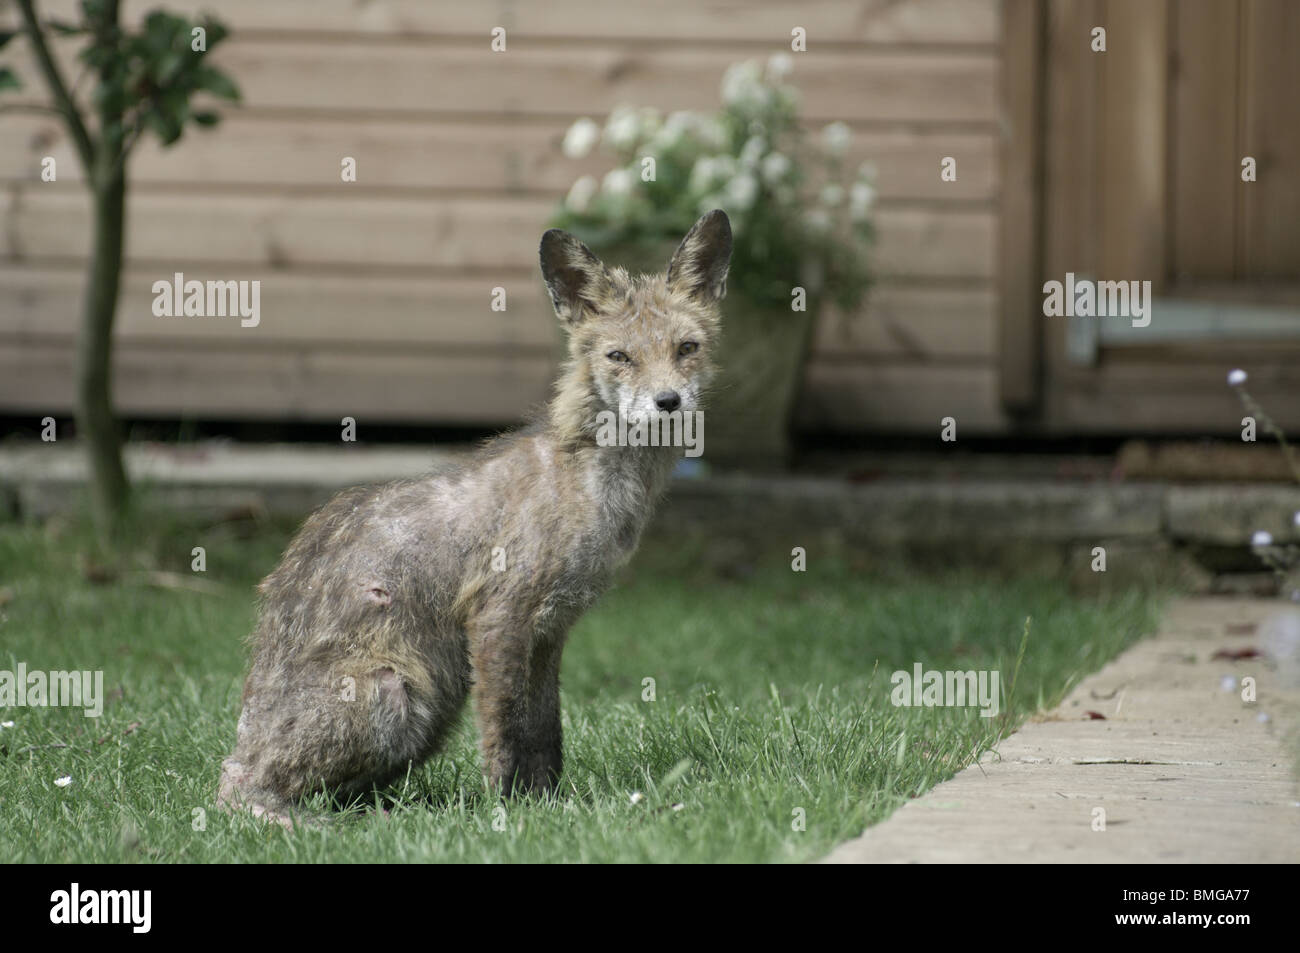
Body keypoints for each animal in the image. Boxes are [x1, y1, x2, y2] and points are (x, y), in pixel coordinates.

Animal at [217, 210, 732, 825]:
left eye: (686, 347)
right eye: (618, 357)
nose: (668, 402)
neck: (587, 481)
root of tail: (245, 738)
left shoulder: (551, 629)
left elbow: (545, 735)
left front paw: (551, 805)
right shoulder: (498, 617)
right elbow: (505, 734)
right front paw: (509, 816)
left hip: (435, 702)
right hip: (398, 692)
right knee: (242, 787)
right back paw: (312, 821)